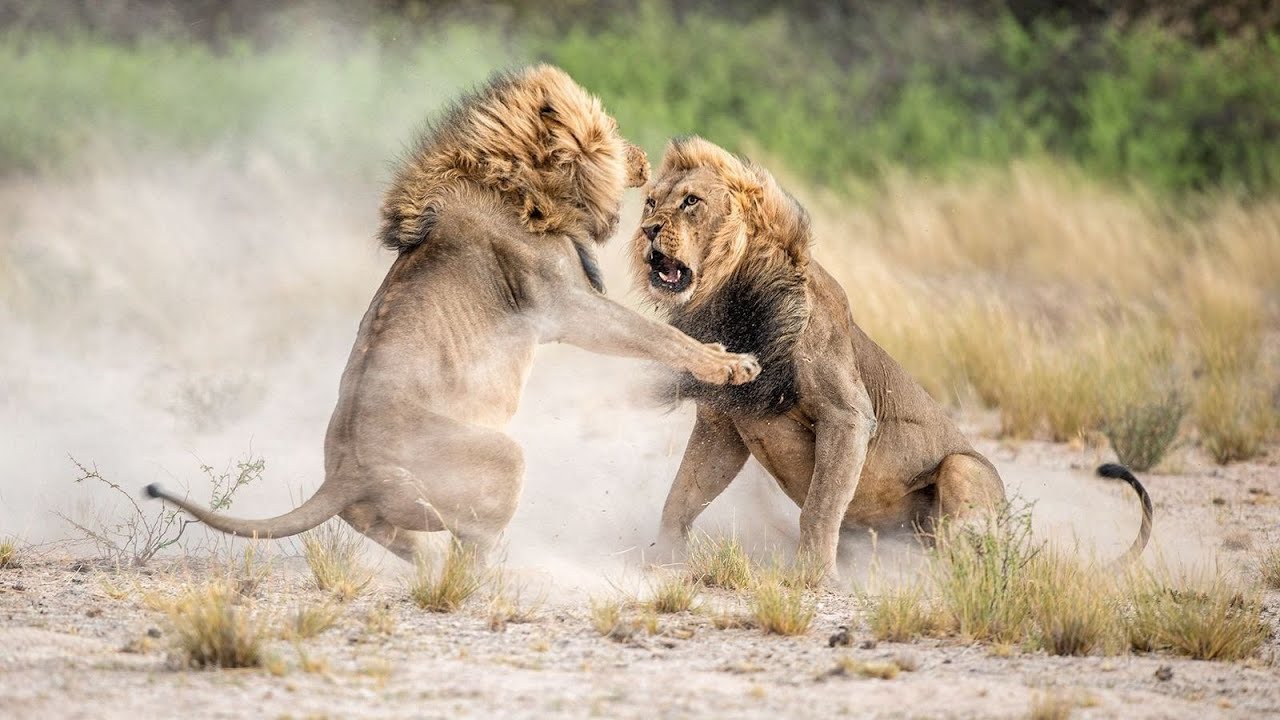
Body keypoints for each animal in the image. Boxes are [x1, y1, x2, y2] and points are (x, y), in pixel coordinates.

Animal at [145, 68, 760, 562]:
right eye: (609, 132)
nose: (643, 160)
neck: (519, 181)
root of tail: (341, 477)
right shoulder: (569, 307)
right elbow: (657, 335)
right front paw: (732, 365)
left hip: (385, 513)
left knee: (410, 545)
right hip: (501, 456)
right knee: (472, 550)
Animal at [633, 136, 1153, 577]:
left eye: (692, 202)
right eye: (651, 202)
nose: (647, 230)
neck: (730, 299)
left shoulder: (847, 415)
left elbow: (820, 508)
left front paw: (812, 577)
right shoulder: (723, 423)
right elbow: (682, 495)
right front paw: (662, 559)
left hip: (964, 467)